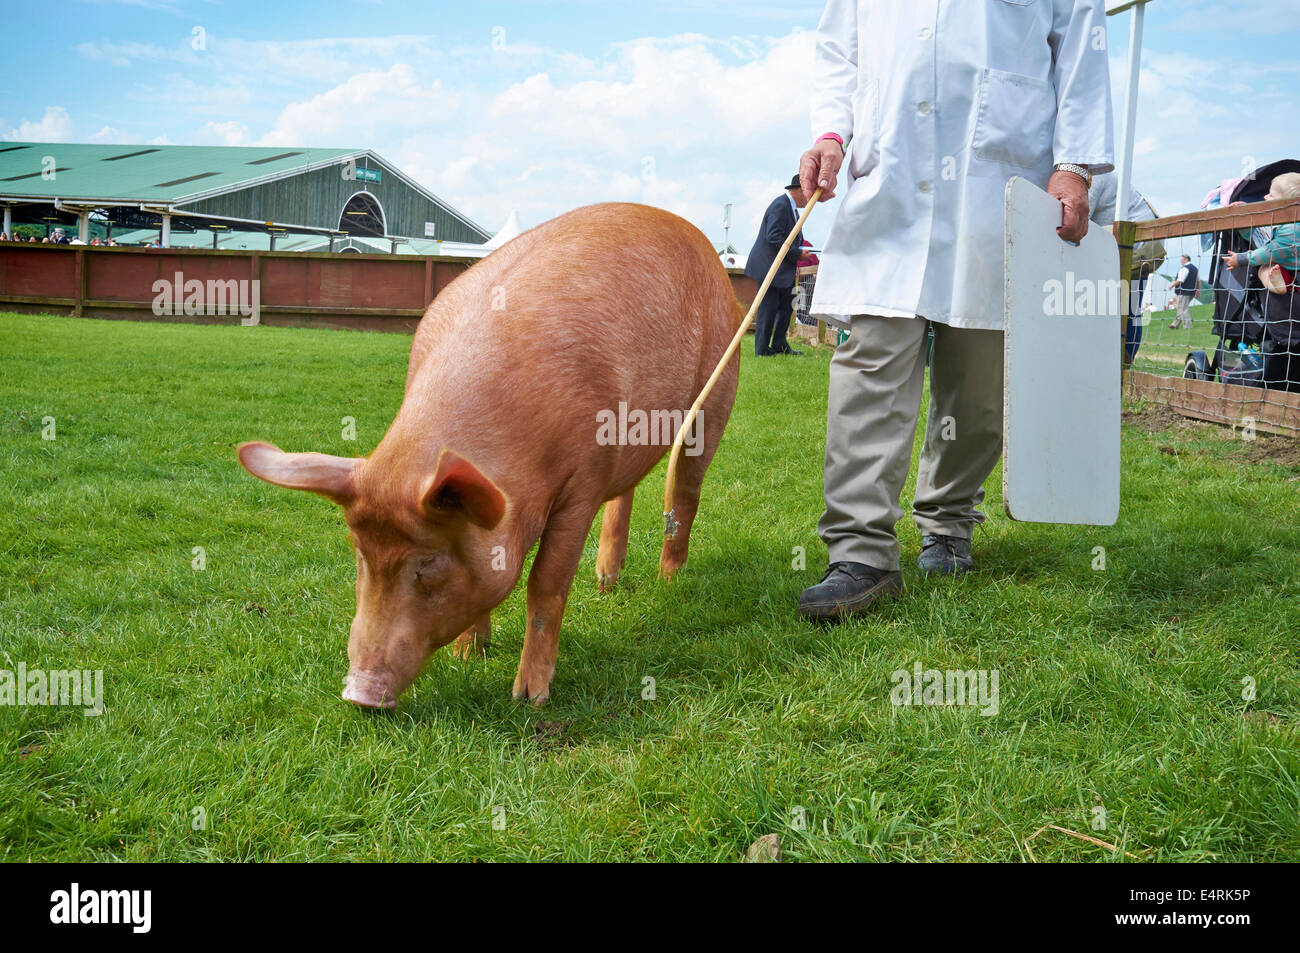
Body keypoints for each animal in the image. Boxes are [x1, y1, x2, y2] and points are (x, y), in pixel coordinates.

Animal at [238, 202, 740, 708]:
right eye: (360, 555)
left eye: (429, 563)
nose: (358, 694)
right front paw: (468, 657)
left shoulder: (583, 482)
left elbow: (546, 583)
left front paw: (529, 698)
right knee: (629, 491)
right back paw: (605, 584)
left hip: (717, 389)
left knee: (685, 489)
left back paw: (669, 581)